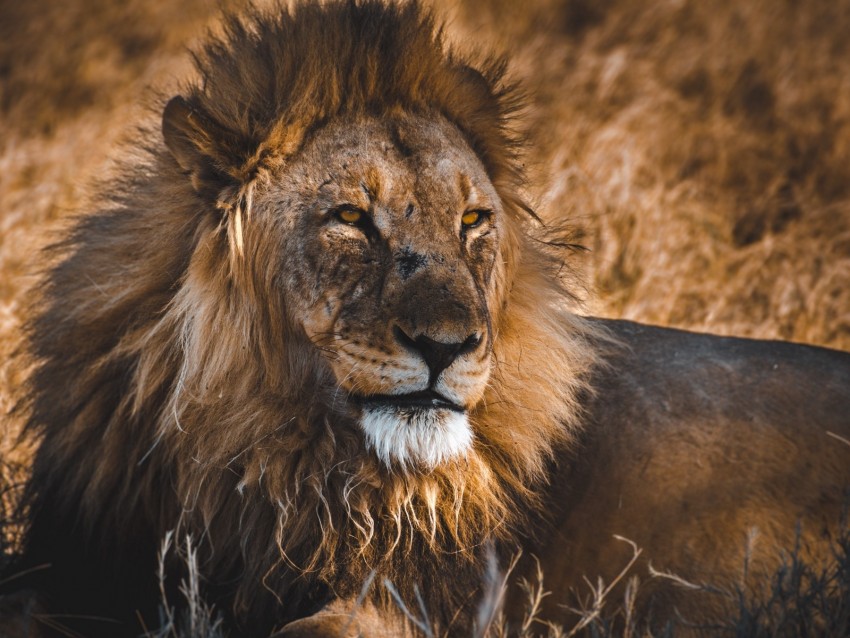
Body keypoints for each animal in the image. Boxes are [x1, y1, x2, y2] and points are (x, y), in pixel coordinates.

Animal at [5, 1, 850, 636]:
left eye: (472, 220)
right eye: (351, 217)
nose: (449, 347)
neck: (263, 448)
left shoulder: (425, 596)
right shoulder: (77, 563)